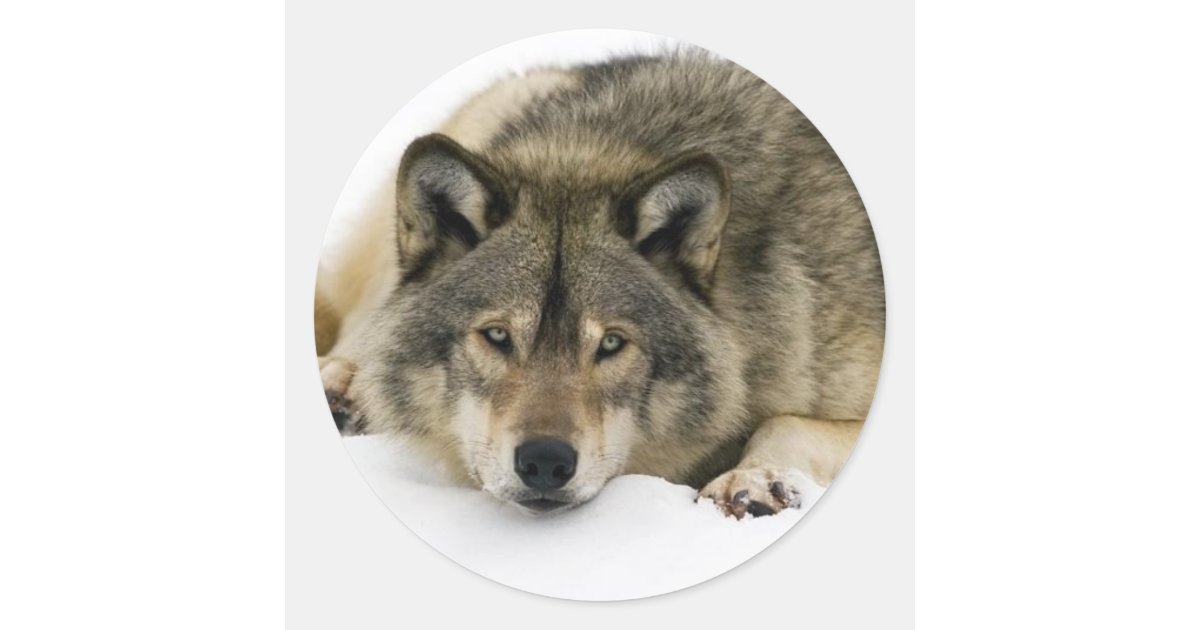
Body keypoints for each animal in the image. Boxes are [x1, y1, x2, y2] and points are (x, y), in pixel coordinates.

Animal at [315, 48, 884, 519]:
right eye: (497, 335)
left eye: (611, 343)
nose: (545, 461)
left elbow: (783, 422)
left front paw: (755, 479)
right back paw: (342, 387)